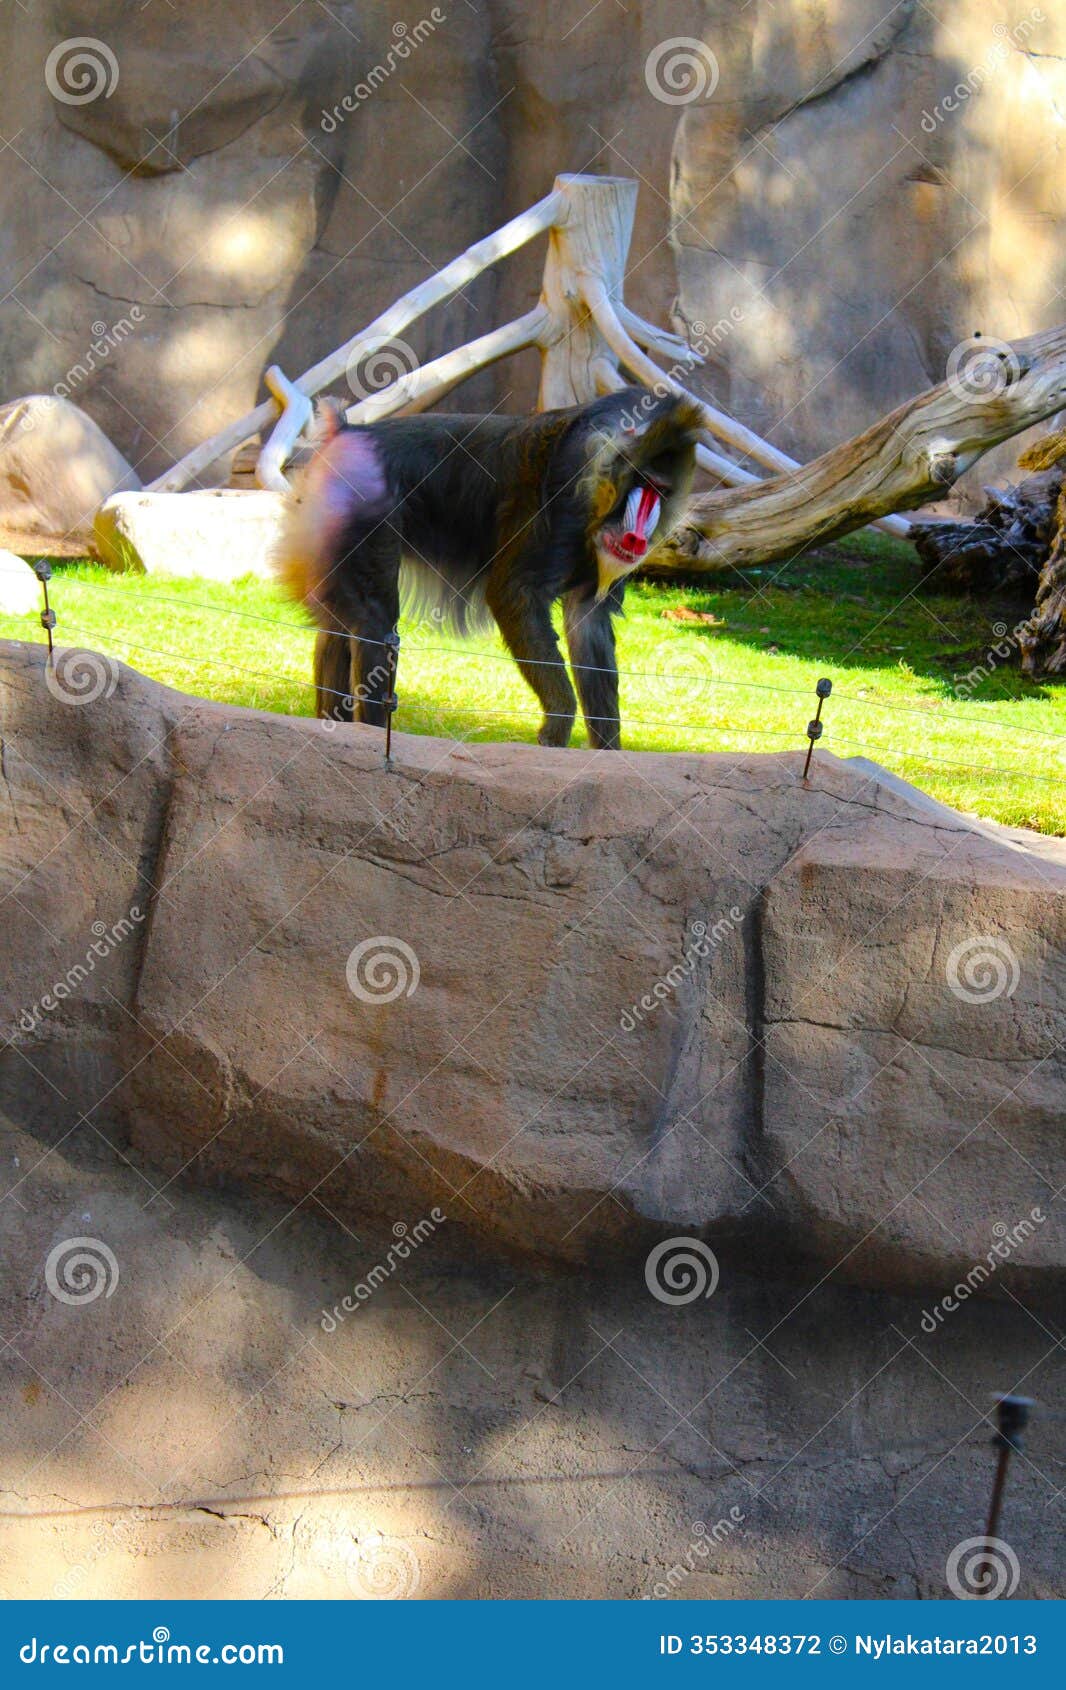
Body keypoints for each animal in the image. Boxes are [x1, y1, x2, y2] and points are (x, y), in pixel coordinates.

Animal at [275, 386, 701, 749]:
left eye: (661, 491)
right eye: (641, 482)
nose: (637, 540)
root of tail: (350, 432)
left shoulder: (590, 591)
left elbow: (588, 626)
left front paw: (607, 755)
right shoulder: (562, 501)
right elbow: (513, 594)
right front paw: (556, 726)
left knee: (335, 630)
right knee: (374, 626)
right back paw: (372, 734)